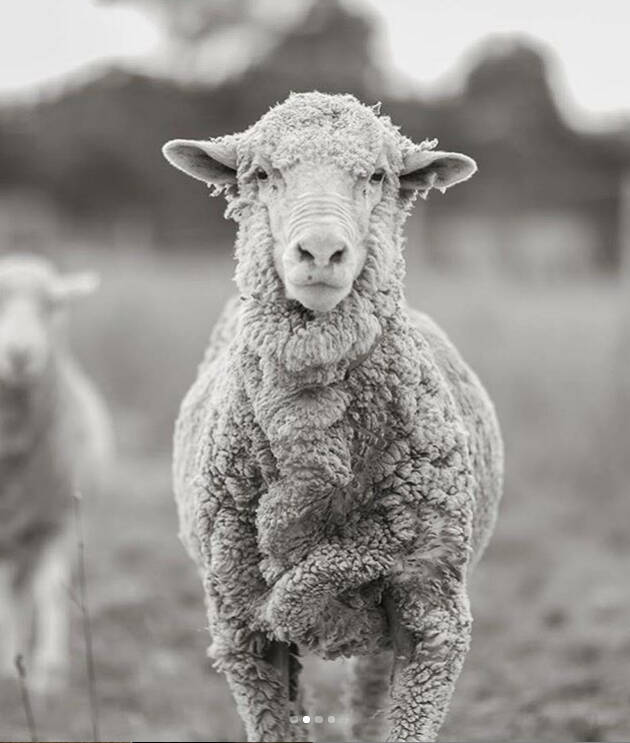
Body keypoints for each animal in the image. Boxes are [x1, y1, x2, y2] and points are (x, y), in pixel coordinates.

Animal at [0, 254, 112, 694]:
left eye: (53, 305)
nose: (19, 355)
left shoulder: (57, 519)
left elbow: (49, 591)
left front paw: (48, 672)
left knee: (25, 591)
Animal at [163, 92, 503, 743]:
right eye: (261, 174)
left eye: (378, 177)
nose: (321, 253)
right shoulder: (239, 626)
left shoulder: (434, 612)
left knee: (366, 700)